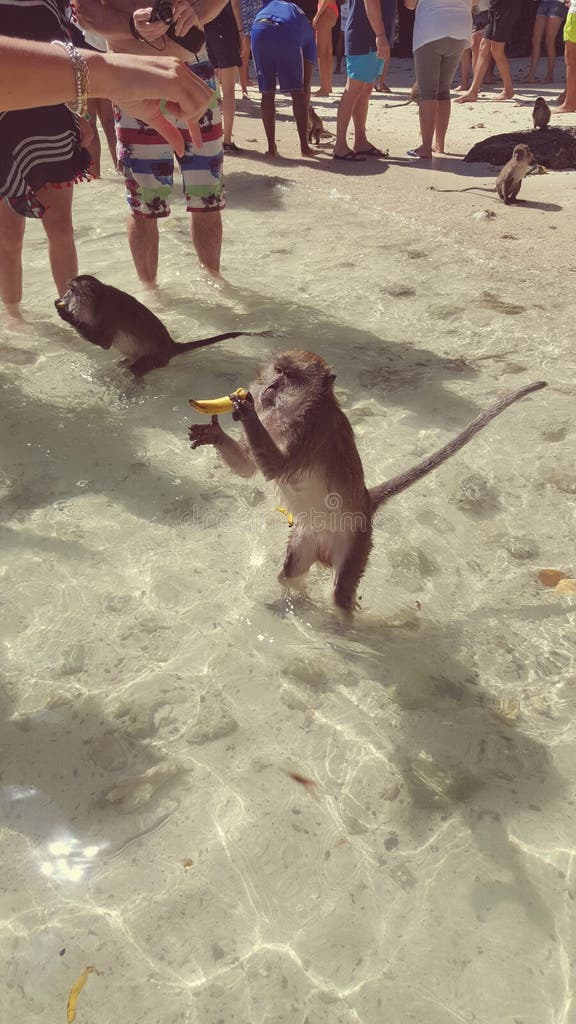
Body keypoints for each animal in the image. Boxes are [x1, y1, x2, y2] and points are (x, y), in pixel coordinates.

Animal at [55, 275, 254, 377]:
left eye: (71, 291)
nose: (63, 297)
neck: (98, 301)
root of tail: (171, 345)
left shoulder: (107, 313)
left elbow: (104, 342)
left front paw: (66, 315)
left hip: (157, 358)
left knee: (137, 368)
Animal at [188, 350, 546, 617]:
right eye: (277, 370)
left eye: (290, 376)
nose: (270, 387)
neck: (296, 409)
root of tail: (365, 500)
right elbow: (249, 467)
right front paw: (215, 433)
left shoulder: (314, 428)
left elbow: (278, 467)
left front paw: (246, 410)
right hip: (306, 538)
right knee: (291, 572)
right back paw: (292, 601)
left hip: (356, 542)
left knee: (341, 594)